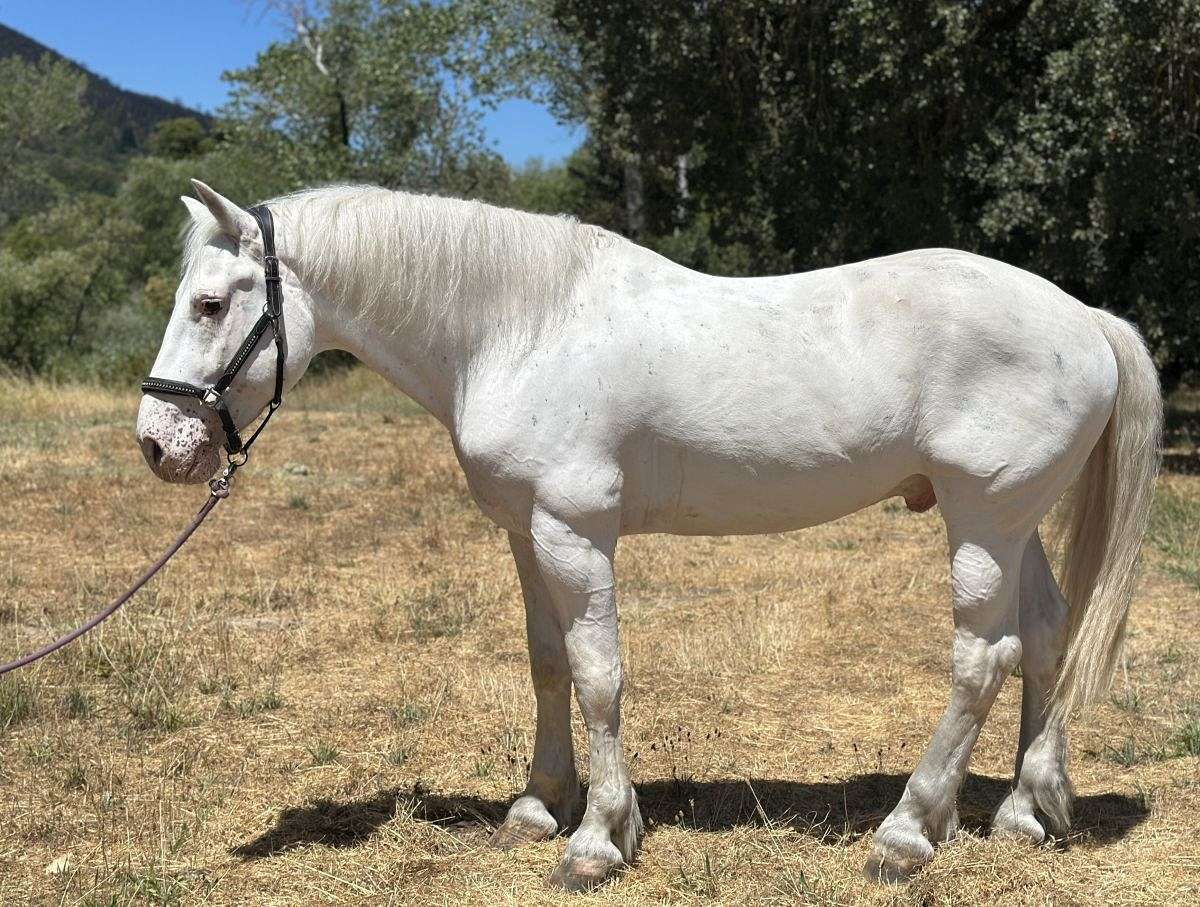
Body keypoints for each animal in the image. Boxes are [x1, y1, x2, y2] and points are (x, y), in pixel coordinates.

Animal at [137, 180, 1162, 890]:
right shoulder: (526, 533)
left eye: (212, 303)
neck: (519, 324)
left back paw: (907, 832)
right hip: (1014, 520)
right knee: (1047, 636)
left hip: (984, 520)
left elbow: (600, 676)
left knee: (980, 658)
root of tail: (1085, 318)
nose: (157, 442)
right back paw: (1024, 809)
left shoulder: (576, 531)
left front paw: (598, 839)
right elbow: (548, 661)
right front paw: (538, 806)